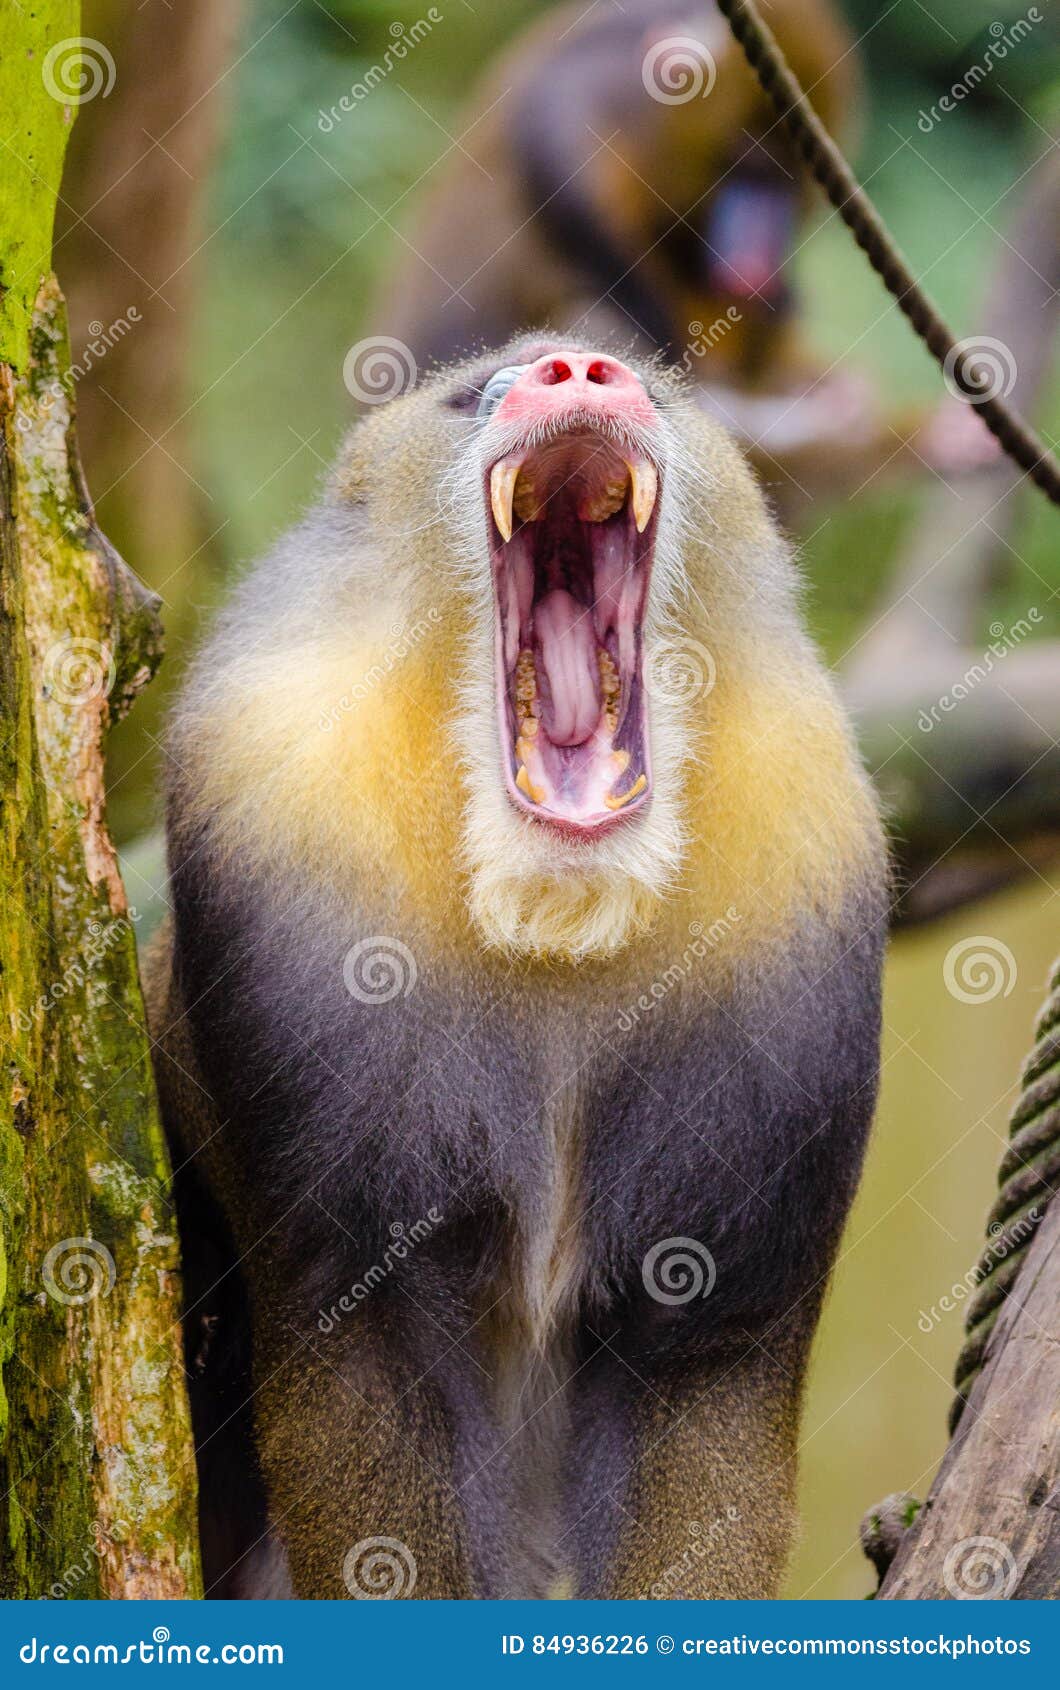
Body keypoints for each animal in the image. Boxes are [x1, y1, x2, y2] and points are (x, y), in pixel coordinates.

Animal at [146, 336, 888, 1599]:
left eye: (659, 391)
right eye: (467, 397)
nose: (577, 365)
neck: (556, 913)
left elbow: (700, 1369)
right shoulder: (274, 824)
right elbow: (371, 1367)